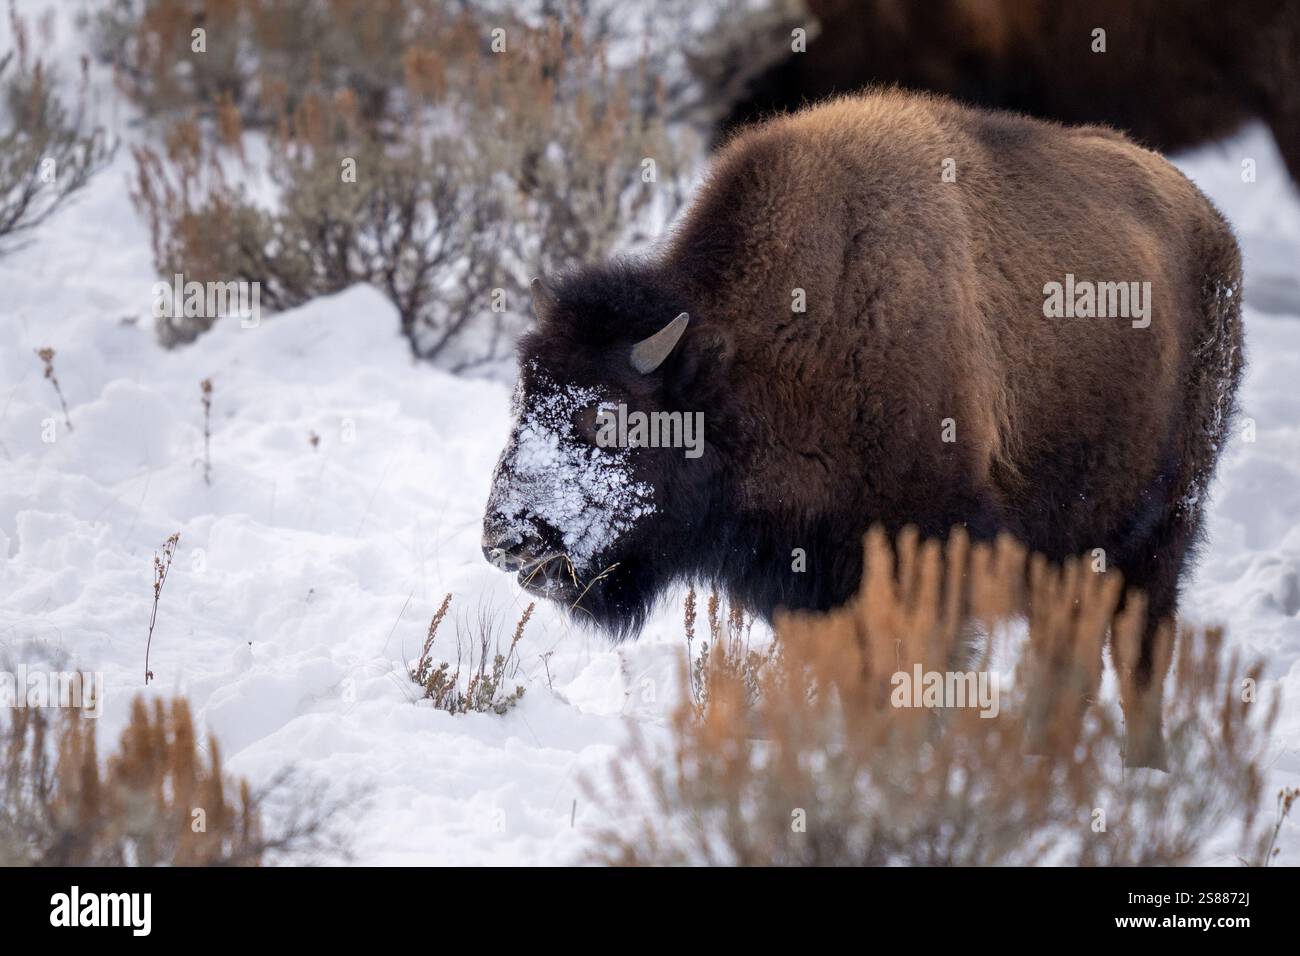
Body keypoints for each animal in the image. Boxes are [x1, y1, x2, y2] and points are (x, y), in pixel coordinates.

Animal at [482, 90, 1244, 767]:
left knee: (1141, 653)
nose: (505, 540)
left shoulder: (925, 557)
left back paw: (1143, 769)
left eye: (603, 415)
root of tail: (1211, 227)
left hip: (1163, 529)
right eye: (524, 398)